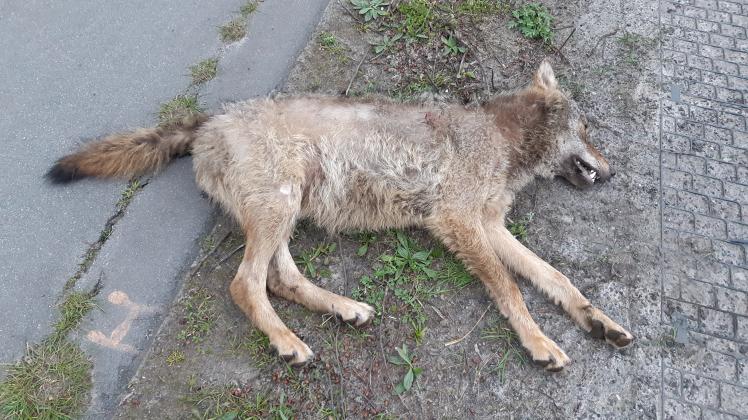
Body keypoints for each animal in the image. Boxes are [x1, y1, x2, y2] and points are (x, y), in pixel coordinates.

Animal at [47, 61, 633, 371]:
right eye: (588, 131)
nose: (613, 169)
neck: (504, 140)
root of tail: (210, 120)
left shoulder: (490, 225)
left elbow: (557, 278)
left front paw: (599, 322)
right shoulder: (459, 223)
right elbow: (511, 288)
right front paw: (541, 343)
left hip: (287, 210)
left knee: (280, 279)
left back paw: (345, 310)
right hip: (280, 206)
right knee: (245, 283)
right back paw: (288, 341)